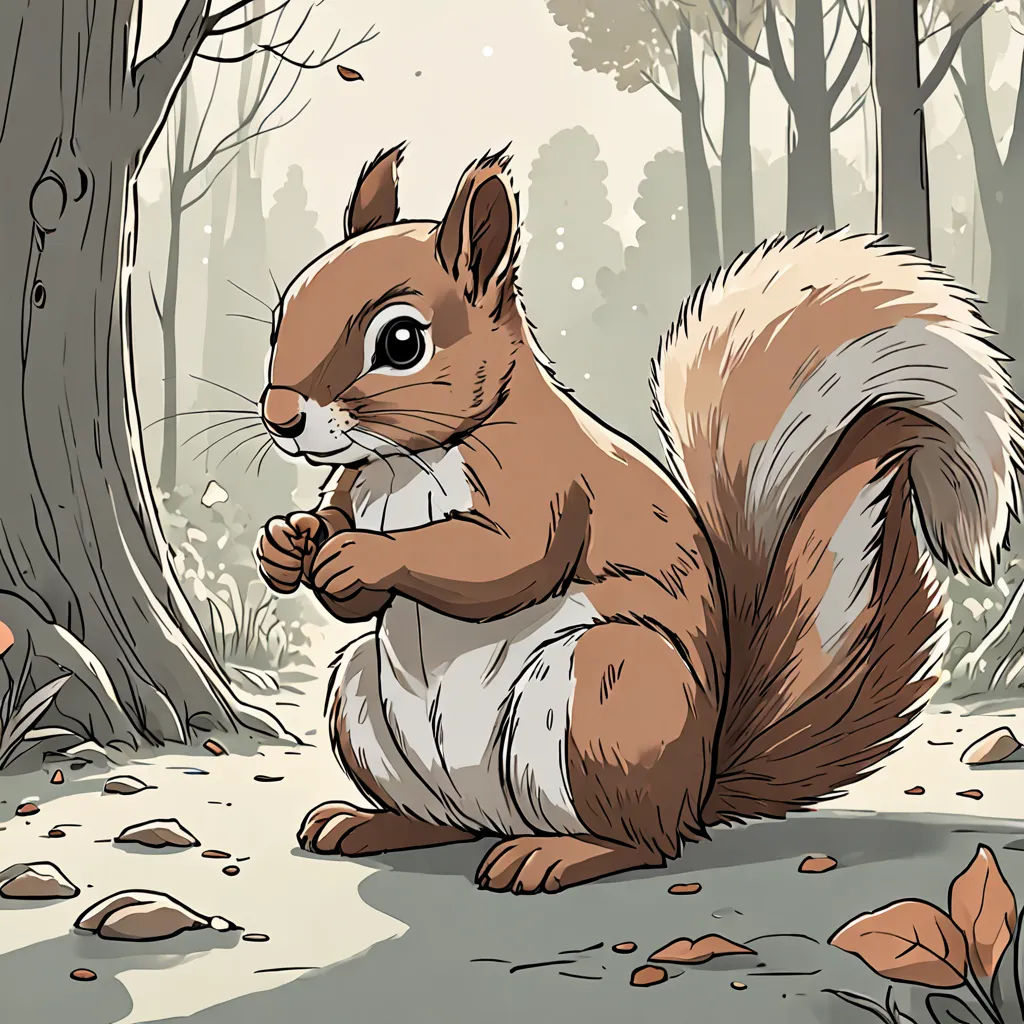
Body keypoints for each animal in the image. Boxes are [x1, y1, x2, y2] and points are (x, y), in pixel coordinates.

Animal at [255, 143, 1024, 894]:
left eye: (402, 343)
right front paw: (288, 545)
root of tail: (698, 790)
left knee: (645, 844)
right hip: (363, 700)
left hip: (611, 691)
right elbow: (352, 592)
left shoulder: (543, 482)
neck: (406, 464)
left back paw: (557, 854)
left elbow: (504, 562)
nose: (280, 417)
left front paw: (362, 553)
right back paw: (370, 822)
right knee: (446, 820)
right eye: (279, 318)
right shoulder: (356, 488)